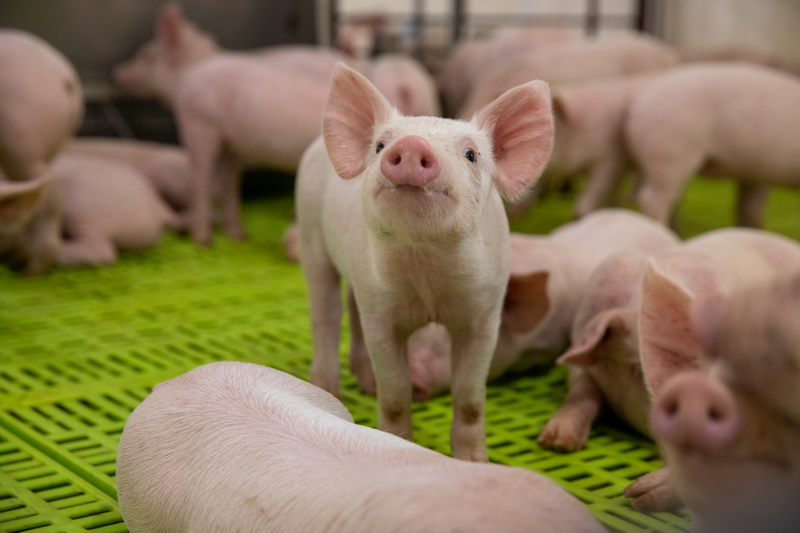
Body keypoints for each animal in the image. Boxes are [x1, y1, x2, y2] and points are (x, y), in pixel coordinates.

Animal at [296, 64, 554, 460]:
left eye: (471, 154)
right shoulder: (382, 315)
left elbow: (470, 398)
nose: (411, 145)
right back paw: (331, 391)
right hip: (312, 240)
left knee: (351, 306)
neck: (427, 269)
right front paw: (399, 442)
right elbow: (395, 393)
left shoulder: (485, 314)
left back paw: (365, 384)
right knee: (326, 315)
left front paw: (475, 462)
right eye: (380, 145)